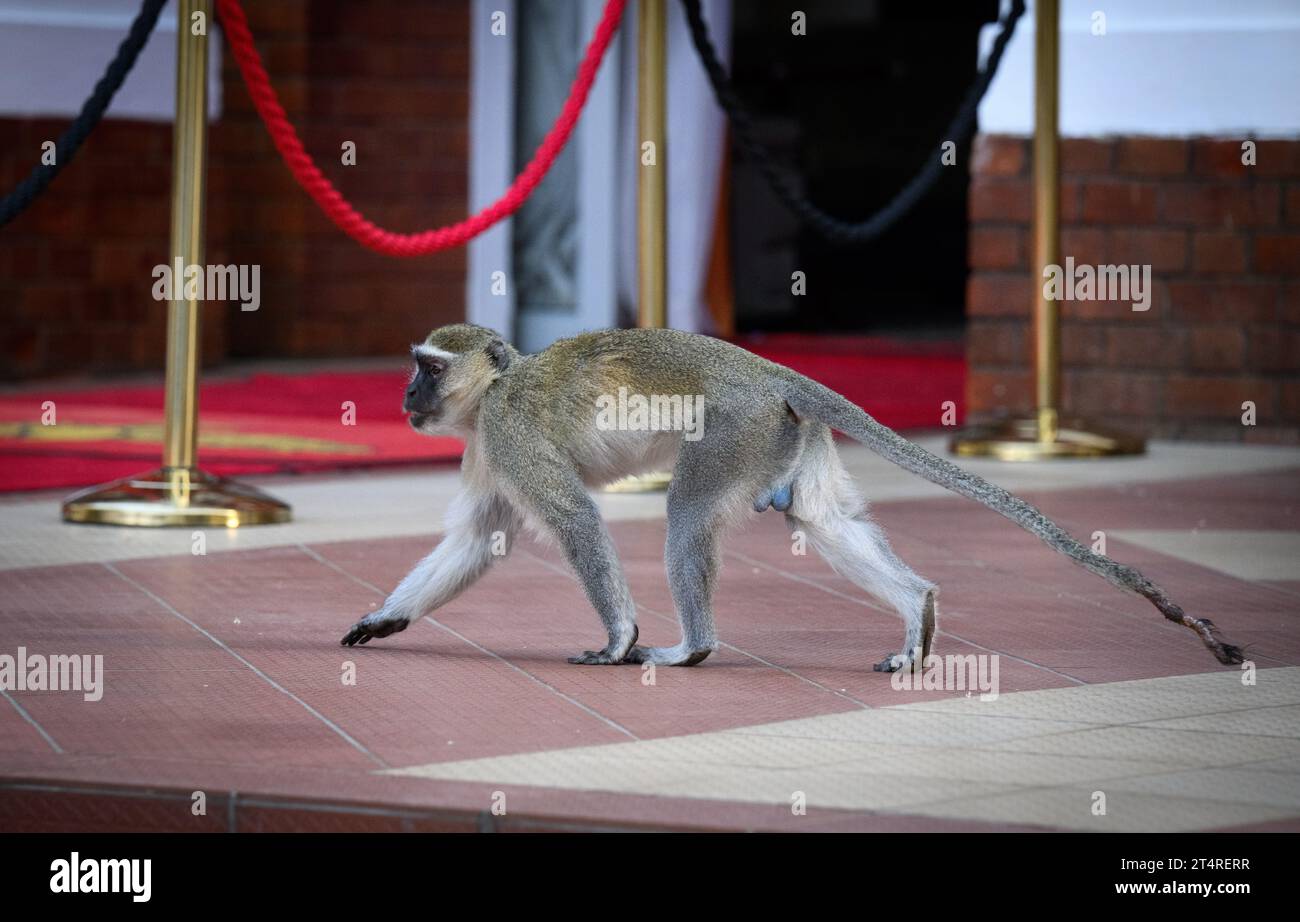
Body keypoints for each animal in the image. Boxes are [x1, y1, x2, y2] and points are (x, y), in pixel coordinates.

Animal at [340, 323, 1244, 672]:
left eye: (425, 366)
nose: (403, 397)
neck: (495, 389)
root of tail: (770, 370)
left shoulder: (508, 433)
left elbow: (573, 518)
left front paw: (618, 638)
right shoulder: (488, 453)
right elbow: (473, 541)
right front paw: (383, 617)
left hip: (733, 430)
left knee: (686, 517)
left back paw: (693, 647)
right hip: (788, 437)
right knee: (824, 519)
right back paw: (915, 611)